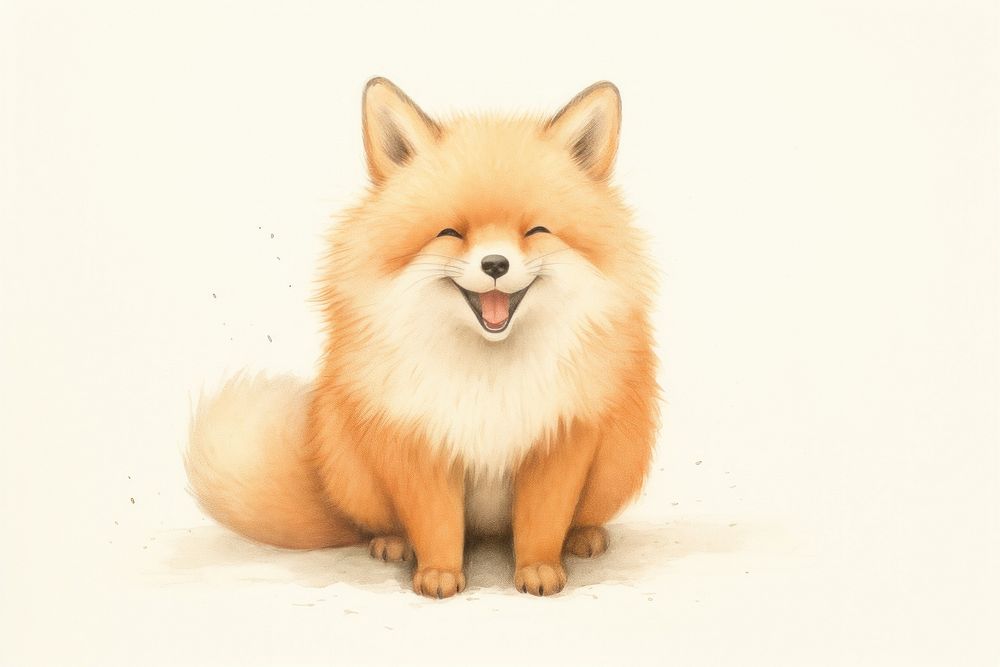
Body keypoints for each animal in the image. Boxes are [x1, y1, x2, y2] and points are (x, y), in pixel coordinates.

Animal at [186, 78, 659, 598]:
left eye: (536, 230)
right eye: (450, 233)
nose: (496, 264)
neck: (489, 374)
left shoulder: (559, 438)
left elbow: (543, 520)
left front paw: (537, 569)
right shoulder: (418, 438)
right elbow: (435, 523)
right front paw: (438, 575)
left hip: (619, 461)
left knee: (578, 516)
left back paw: (584, 536)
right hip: (354, 471)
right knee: (379, 523)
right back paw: (392, 542)